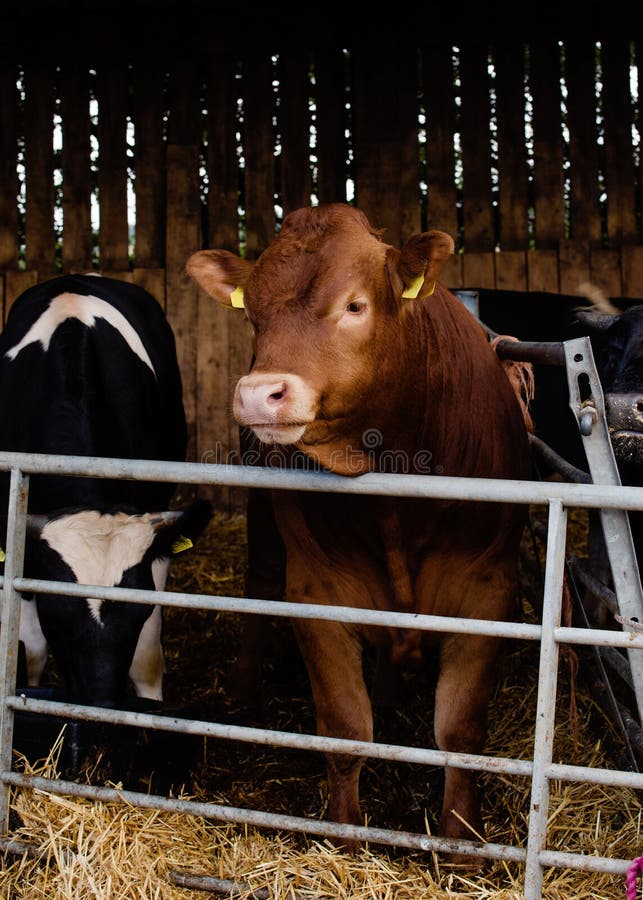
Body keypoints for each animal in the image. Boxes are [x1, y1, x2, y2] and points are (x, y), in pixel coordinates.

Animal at [187, 202, 532, 854]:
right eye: (254, 315)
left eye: (354, 305)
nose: (259, 394)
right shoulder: (317, 592)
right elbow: (346, 728)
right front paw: (345, 842)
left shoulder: (488, 590)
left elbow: (460, 730)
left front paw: (462, 844)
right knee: (259, 583)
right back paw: (243, 692)